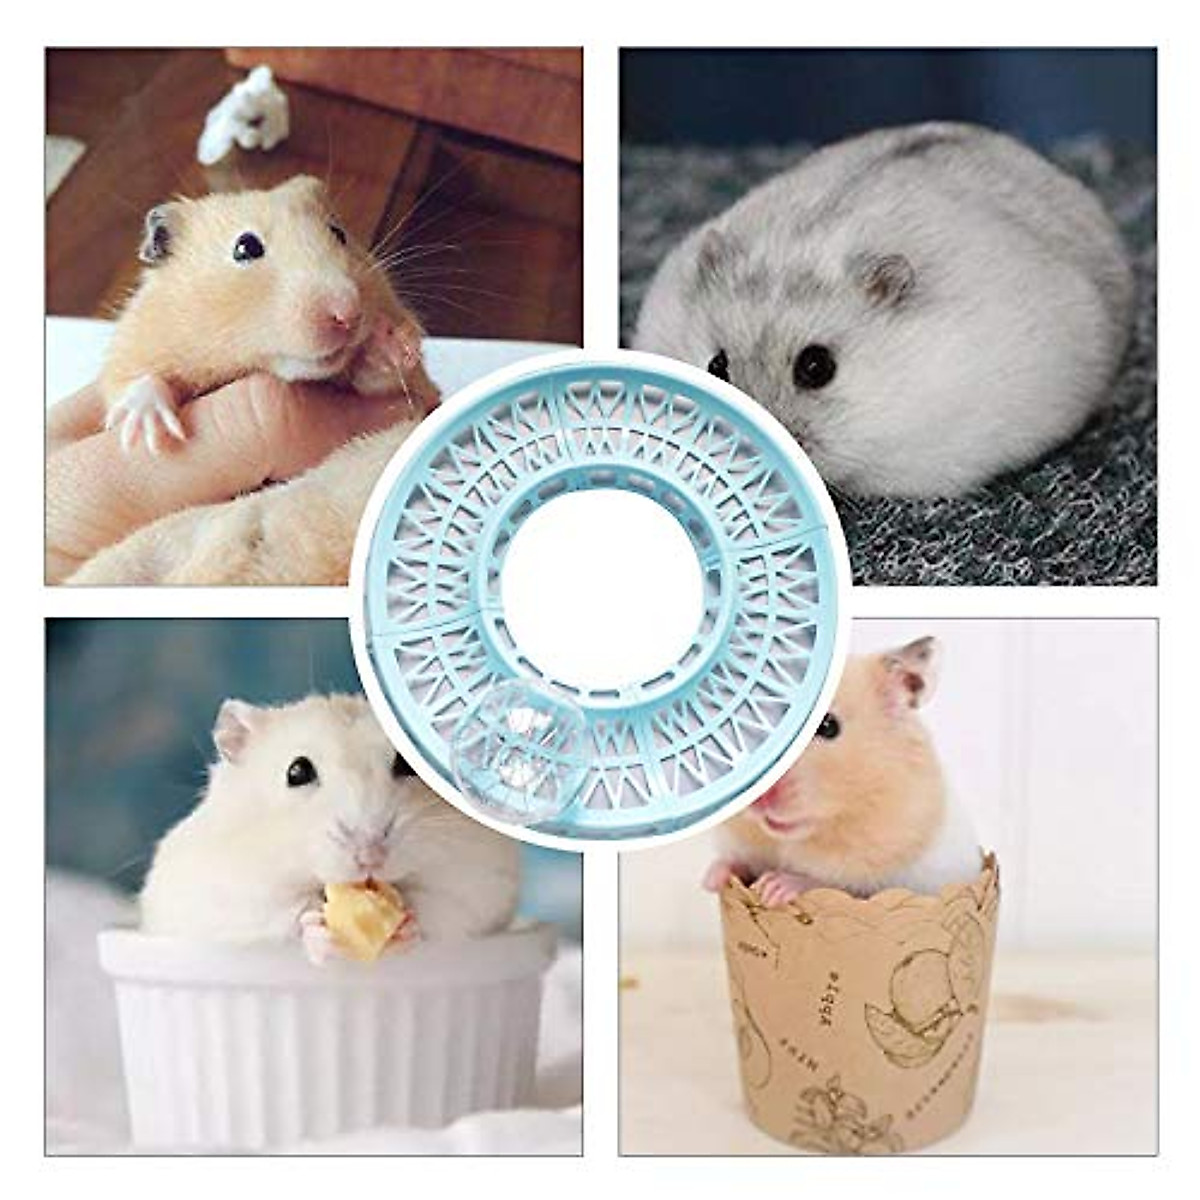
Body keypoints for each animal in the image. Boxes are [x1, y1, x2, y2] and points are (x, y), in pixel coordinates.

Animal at [101, 175, 439, 454]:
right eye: (245, 247)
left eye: (339, 233)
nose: (348, 314)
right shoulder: (135, 345)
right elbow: (129, 381)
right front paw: (151, 433)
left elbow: (380, 379)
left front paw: (392, 342)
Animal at [140, 694, 521, 963]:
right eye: (296, 771)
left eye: (405, 764)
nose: (370, 855)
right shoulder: (217, 891)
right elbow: (282, 915)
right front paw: (315, 930)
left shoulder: (484, 881)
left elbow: (440, 905)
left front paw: (406, 925)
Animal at [703, 637, 981, 906]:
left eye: (828, 726)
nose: (760, 799)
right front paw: (711, 880)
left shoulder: (880, 882)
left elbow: (829, 885)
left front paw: (773, 889)